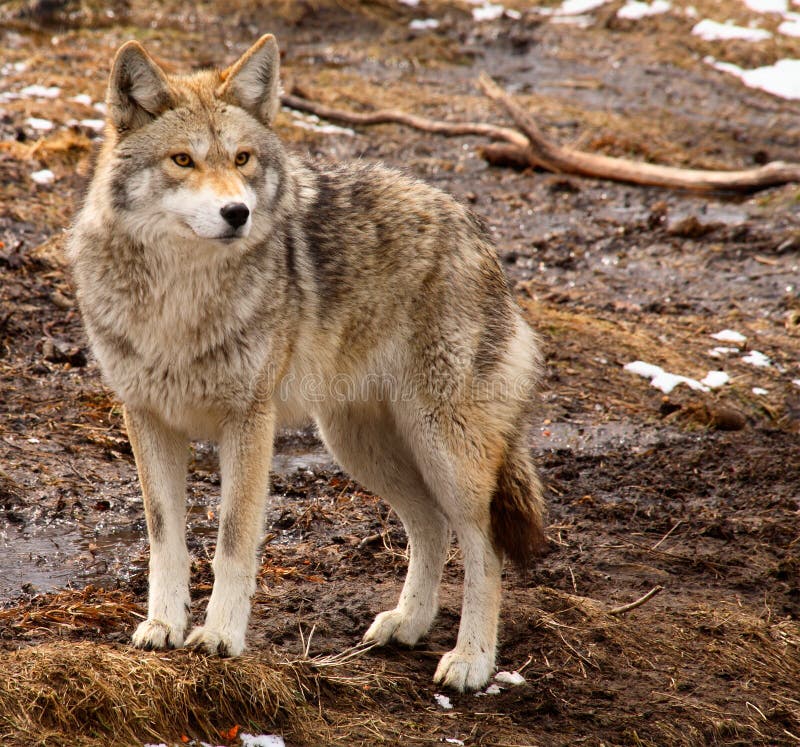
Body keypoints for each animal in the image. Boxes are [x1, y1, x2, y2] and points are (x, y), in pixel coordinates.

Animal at [67, 34, 546, 692]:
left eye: (242, 158)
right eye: (182, 161)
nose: (237, 213)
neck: (179, 297)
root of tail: (472, 224)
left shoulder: (248, 422)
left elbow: (233, 541)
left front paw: (219, 637)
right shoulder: (146, 419)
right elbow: (166, 539)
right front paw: (163, 626)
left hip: (443, 448)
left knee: (483, 546)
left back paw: (471, 659)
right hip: (359, 445)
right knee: (430, 526)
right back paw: (408, 624)